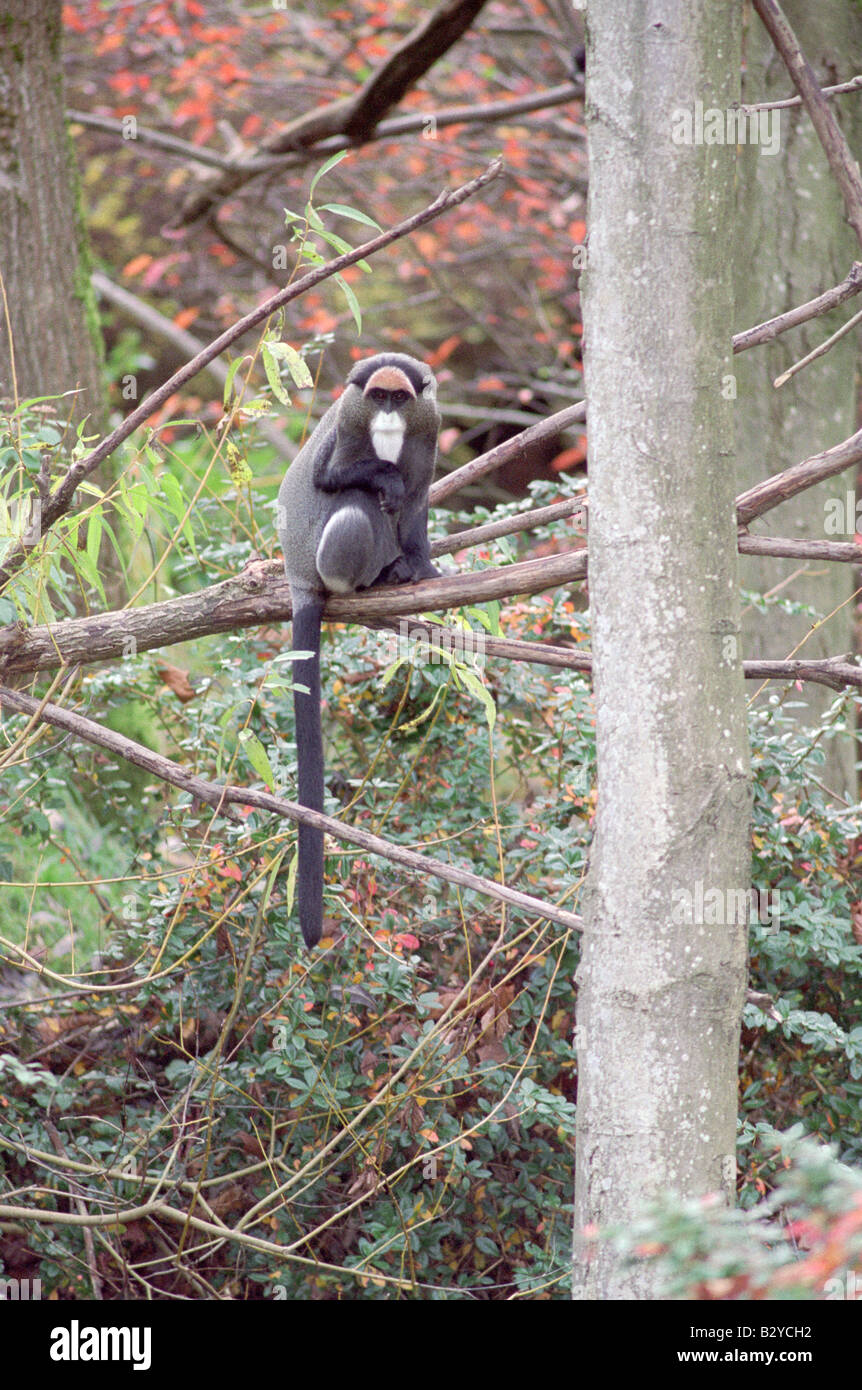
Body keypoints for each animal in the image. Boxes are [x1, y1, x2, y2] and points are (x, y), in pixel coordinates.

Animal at [277, 352, 440, 948]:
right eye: (377, 398)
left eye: (400, 399)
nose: (388, 418)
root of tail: (298, 578)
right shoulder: (348, 424)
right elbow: (331, 479)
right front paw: (381, 475)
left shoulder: (429, 426)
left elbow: (416, 501)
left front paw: (425, 566)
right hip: (327, 560)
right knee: (355, 502)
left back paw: (399, 571)